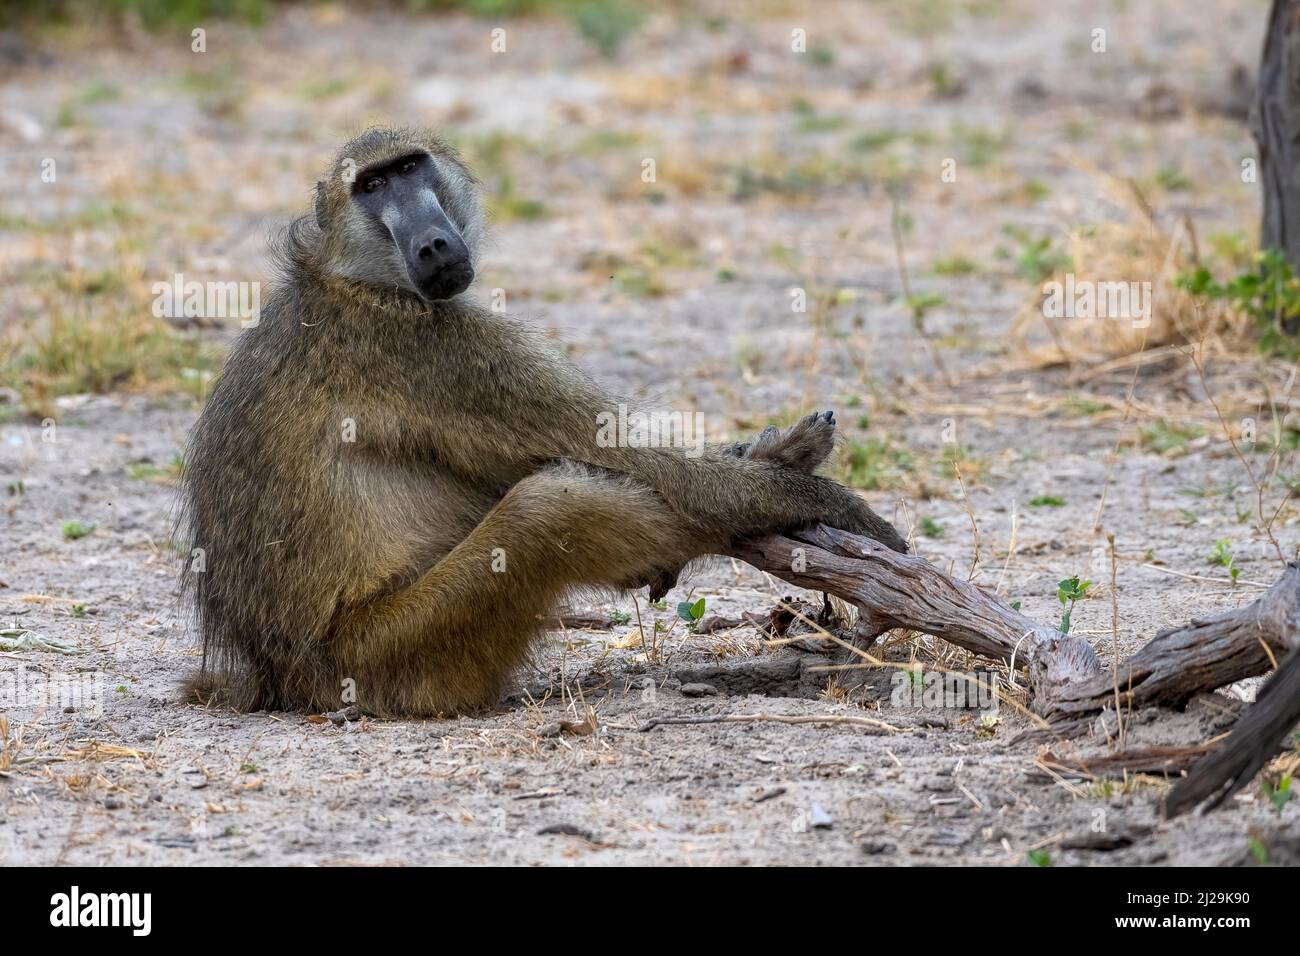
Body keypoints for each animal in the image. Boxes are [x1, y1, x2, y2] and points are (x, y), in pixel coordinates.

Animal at [179, 126, 907, 718]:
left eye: (410, 168)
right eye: (371, 187)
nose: (432, 242)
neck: (347, 274)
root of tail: (283, 681)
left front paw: (771, 451)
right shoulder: (443, 352)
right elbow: (662, 474)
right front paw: (836, 506)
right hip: (389, 659)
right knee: (549, 506)